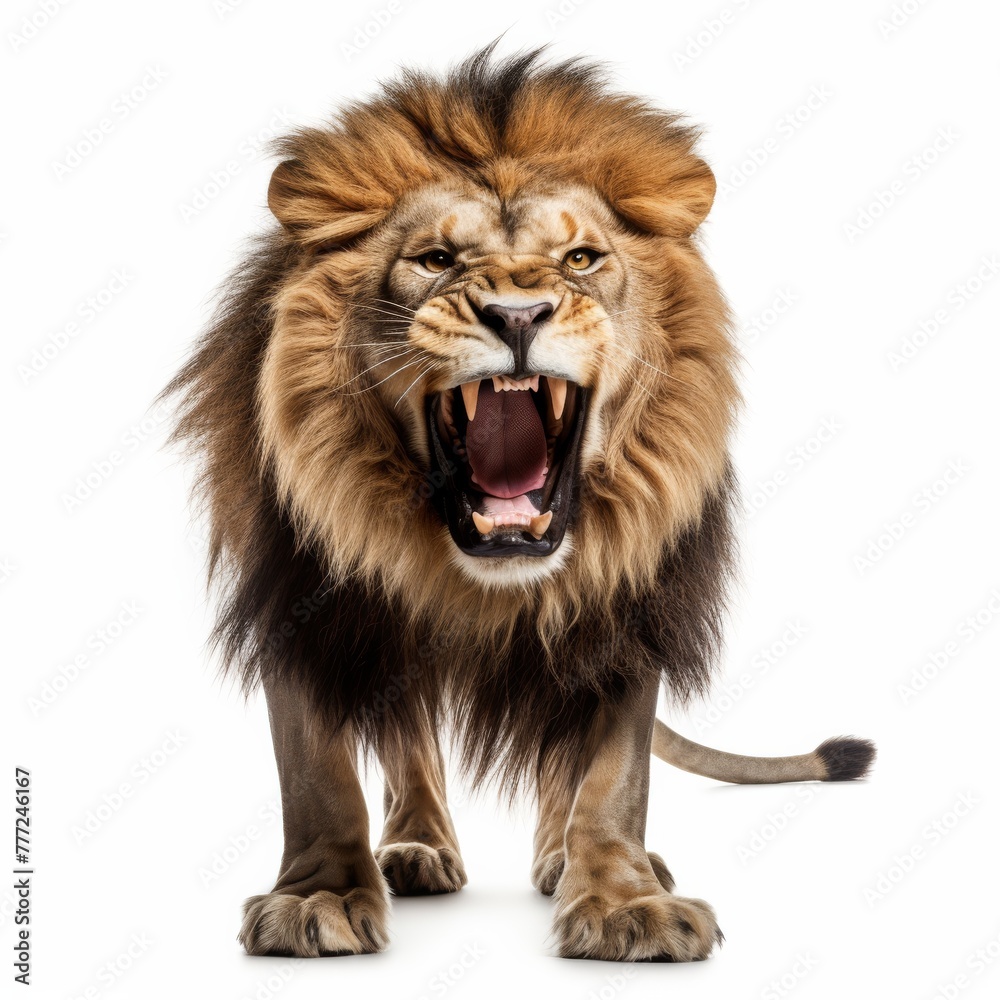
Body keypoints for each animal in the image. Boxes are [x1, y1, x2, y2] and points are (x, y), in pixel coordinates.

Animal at [165, 46, 874, 962]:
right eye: (435, 259)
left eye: (581, 260)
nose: (517, 313)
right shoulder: (298, 597)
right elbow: (317, 771)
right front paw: (319, 896)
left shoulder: (627, 604)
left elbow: (612, 772)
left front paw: (624, 902)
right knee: (410, 741)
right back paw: (416, 848)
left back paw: (564, 860)